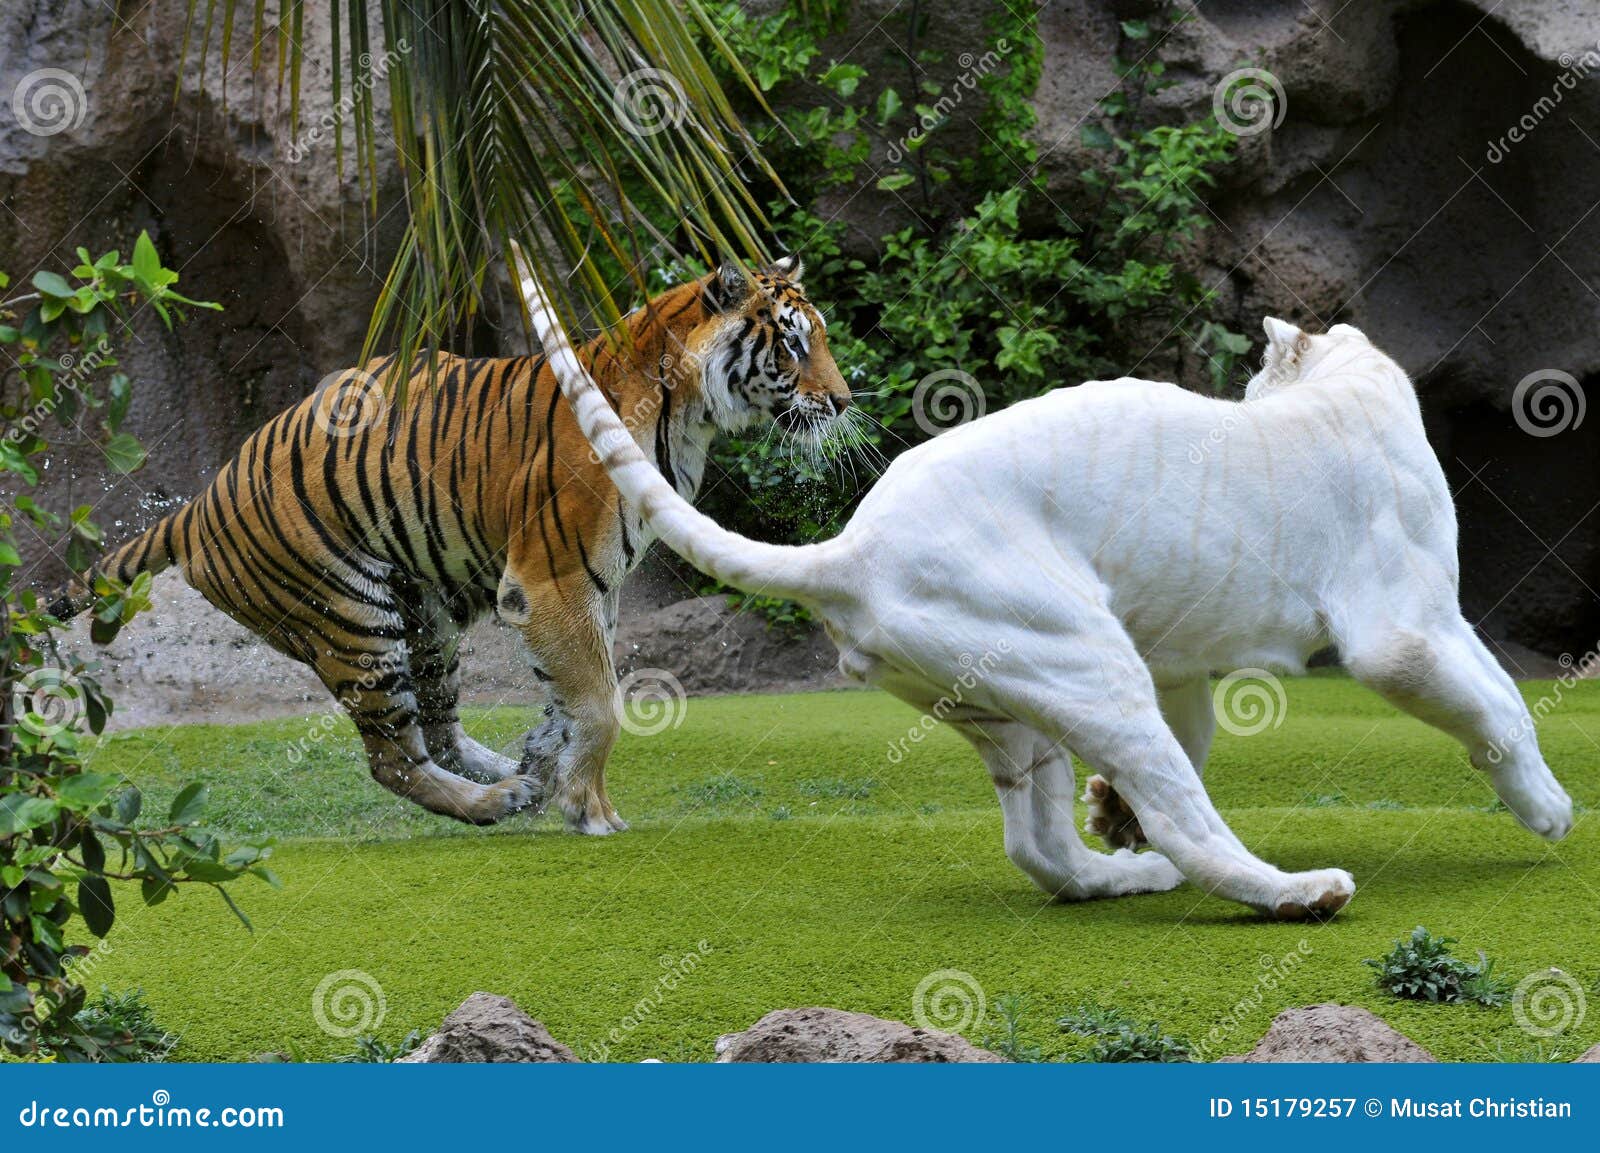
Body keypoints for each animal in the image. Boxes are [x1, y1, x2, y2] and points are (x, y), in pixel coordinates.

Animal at [50, 256, 852, 833]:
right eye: (792, 343)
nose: (845, 401)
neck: (687, 412)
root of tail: (197, 506)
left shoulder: (592, 582)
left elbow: (572, 691)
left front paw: (550, 759)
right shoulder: (551, 576)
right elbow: (599, 700)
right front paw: (590, 810)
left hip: (421, 613)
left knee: (433, 734)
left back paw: (515, 778)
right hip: (351, 620)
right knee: (392, 760)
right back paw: (493, 802)